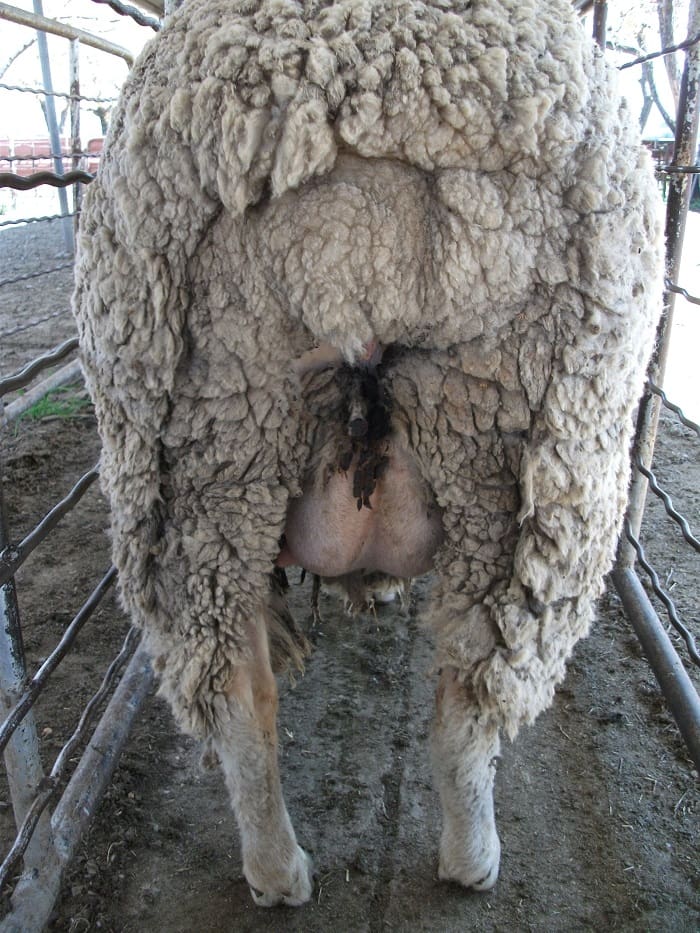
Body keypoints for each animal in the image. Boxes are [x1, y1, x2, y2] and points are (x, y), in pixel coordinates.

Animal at [72, 0, 664, 906]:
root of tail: (352, 230)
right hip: (551, 459)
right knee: (469, 696)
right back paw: (464, 857)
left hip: (210, 447)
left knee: (246, 689)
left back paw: (282, 869)